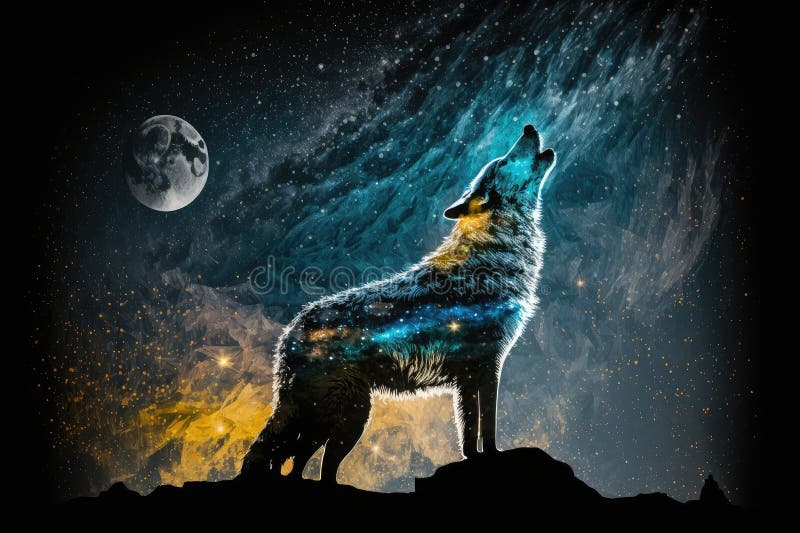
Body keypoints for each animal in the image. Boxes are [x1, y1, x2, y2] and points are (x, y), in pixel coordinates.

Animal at [242, 124, 556, 483]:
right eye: (504, 161)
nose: (528, 127)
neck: (495, 251)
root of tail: (288, 335)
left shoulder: (468, 377)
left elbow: (468, 431)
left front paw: (473, 459)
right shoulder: (488, 366)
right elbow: (486, 427)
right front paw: (492, 457)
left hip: (331, 421)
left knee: (301, 464)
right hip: (348, 417)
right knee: (309, 464)